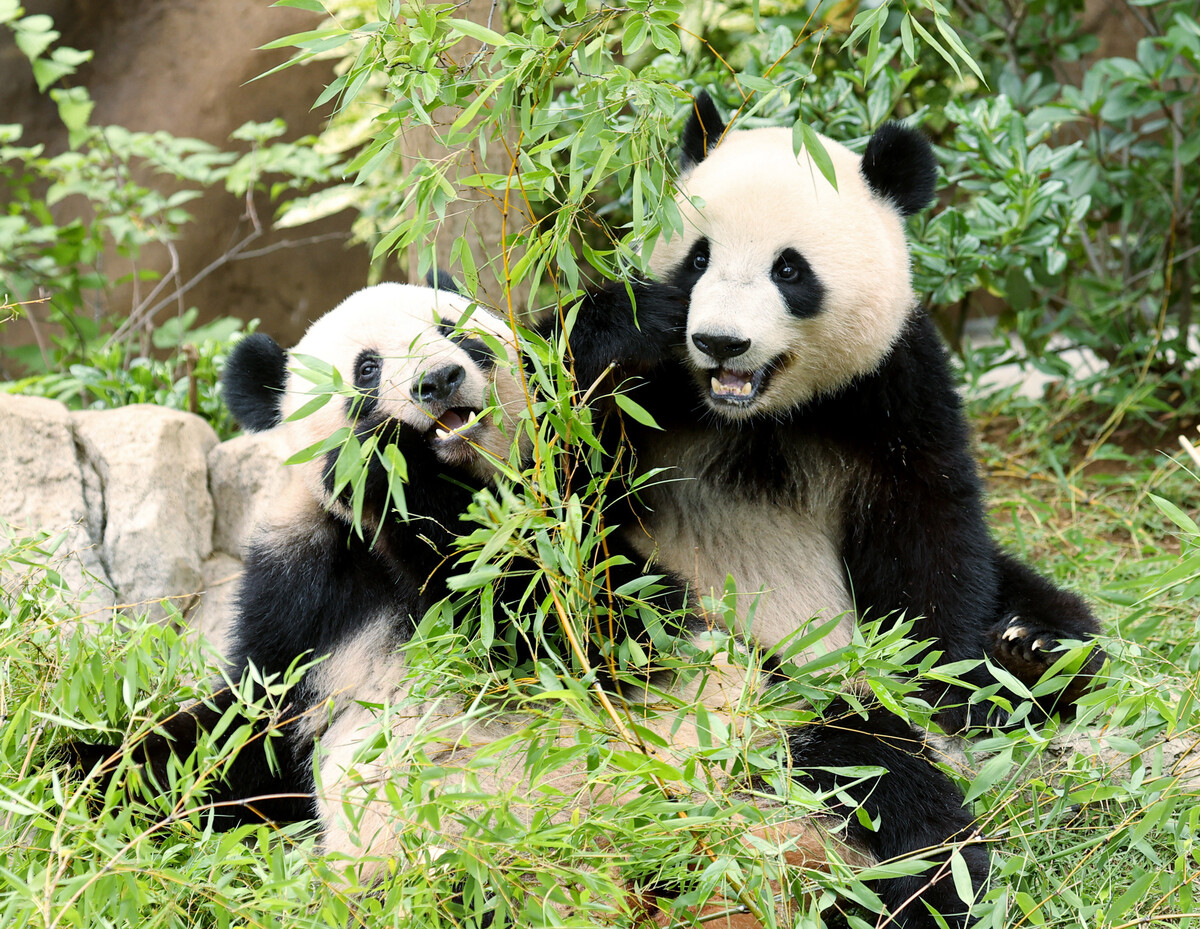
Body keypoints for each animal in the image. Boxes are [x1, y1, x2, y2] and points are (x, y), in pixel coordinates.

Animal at [67, 282, 987, 927]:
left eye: (458, 330)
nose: (439, 381)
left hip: (753, 738)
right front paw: (82, 781)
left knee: (889, 787)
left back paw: (919, 894)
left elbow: (597, 627)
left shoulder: (597, 508)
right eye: (366, 367)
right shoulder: (304, 596)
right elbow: (237, 738)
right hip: (433, 870)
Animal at [555, 91, 1105, 733]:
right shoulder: (640, 399)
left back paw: (1034, 651)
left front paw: (947, 681)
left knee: (1045, 603)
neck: (754, 415)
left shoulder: (891, 389)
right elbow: (550, 486)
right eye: (698, 259)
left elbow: (927, 533)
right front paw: (631, 322)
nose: (720, 342)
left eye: (789, 269)